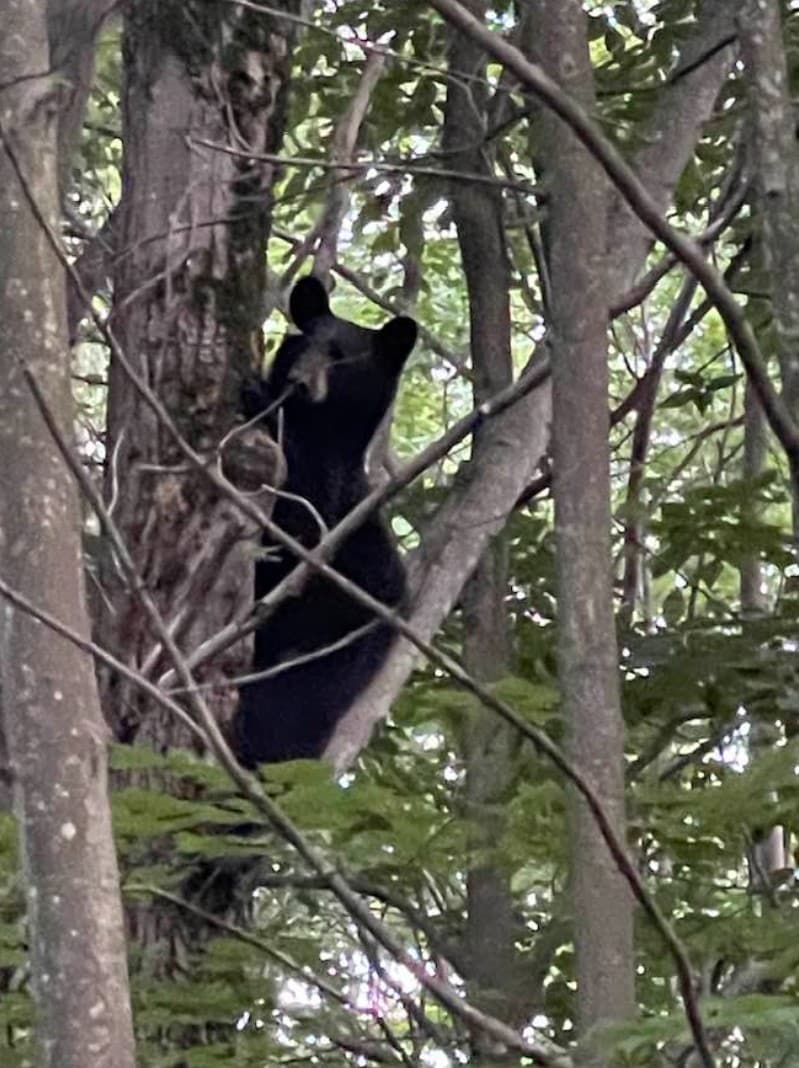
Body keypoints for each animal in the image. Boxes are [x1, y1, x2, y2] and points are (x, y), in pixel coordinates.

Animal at [231, 276, 418, 766]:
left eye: (340, 358)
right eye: (303, 344)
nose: (298, 383)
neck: (322, 427)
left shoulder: (333, 496)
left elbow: (301, 513)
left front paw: (259, 397)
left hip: (332, 655)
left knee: (283, 718)